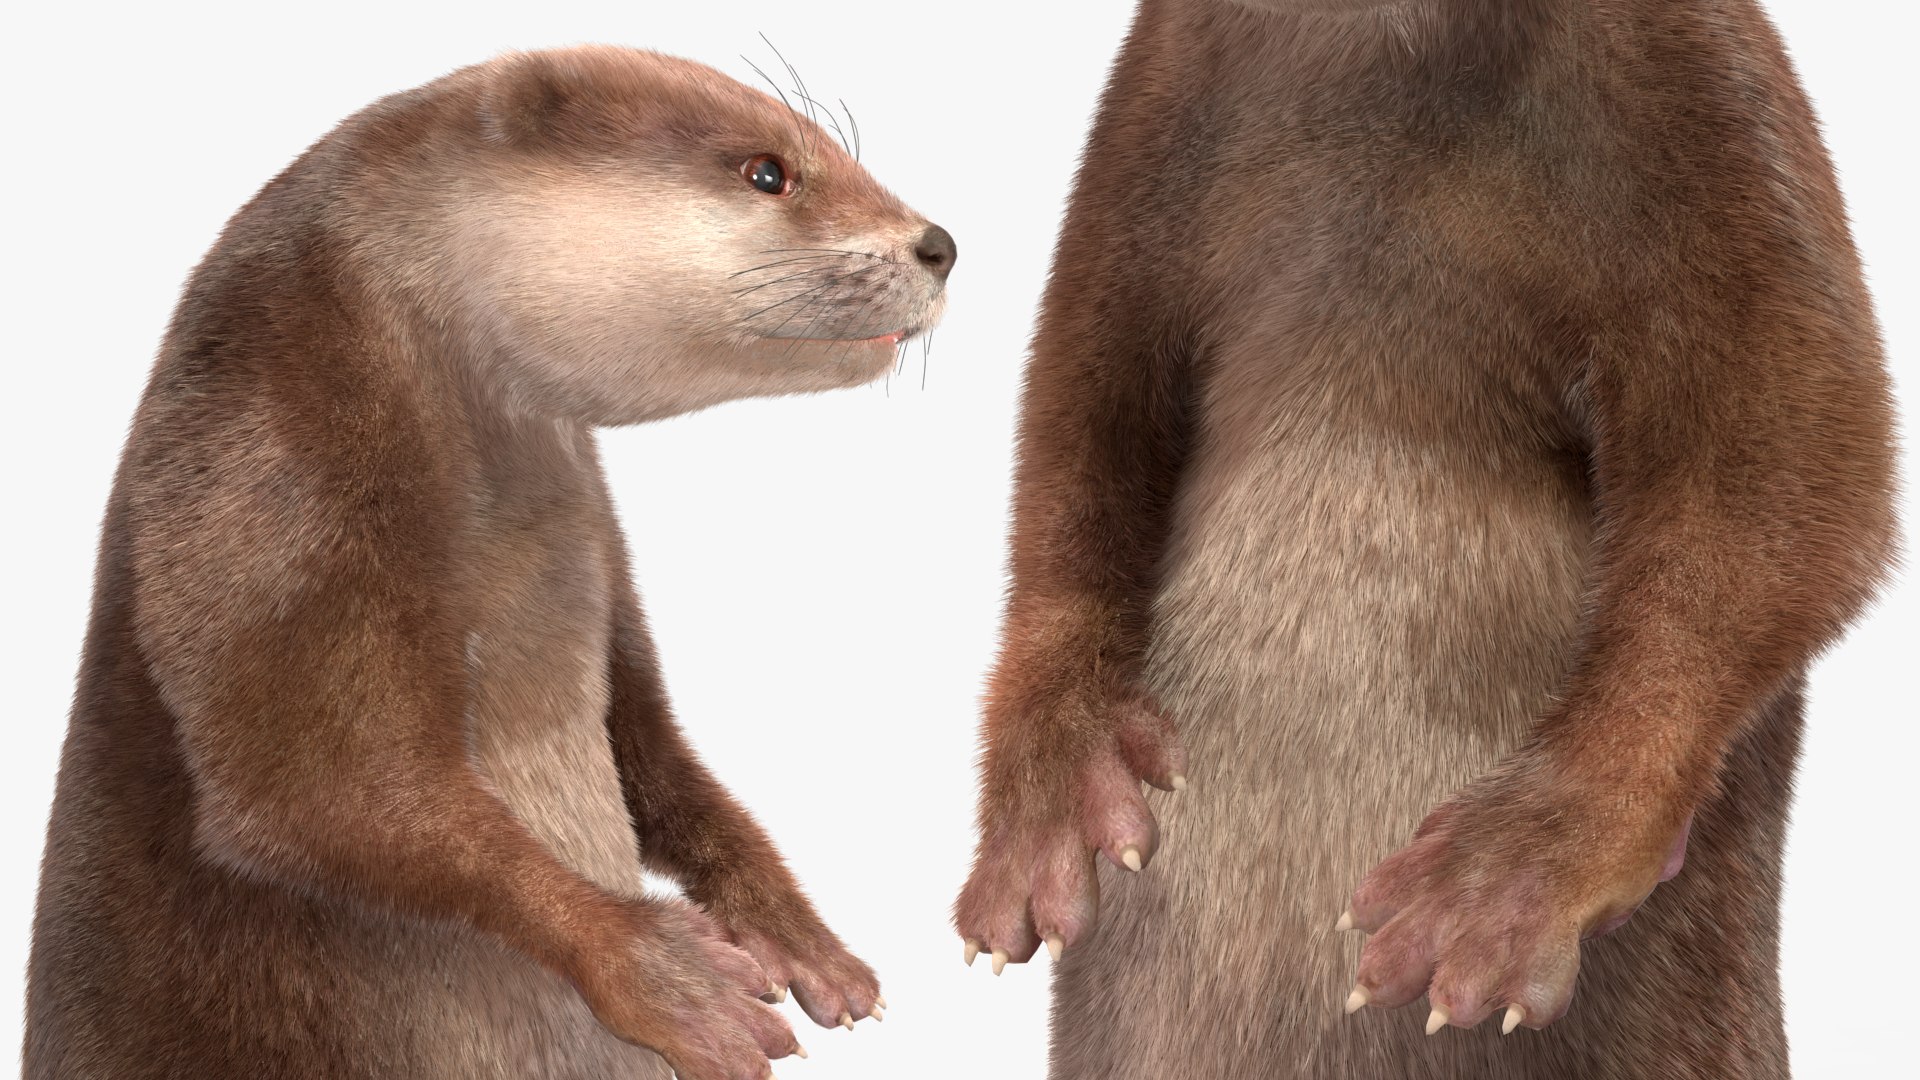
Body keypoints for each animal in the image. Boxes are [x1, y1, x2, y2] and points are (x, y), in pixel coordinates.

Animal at [26, 46, 951, 1080]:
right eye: (768, 171)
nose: (940, 245)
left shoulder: (600, 552)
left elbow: (650, 741)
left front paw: (803, 943)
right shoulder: (274, 455)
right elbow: (309, 786)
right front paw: (670, 974)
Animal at [955, 1, 1894, 1077]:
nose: (1503, 893)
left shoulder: (1716, 114)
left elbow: (1795, 467)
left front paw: (1512, 878)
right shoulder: (1146, 141)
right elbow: (1077, 437)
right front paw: (1047, 802)